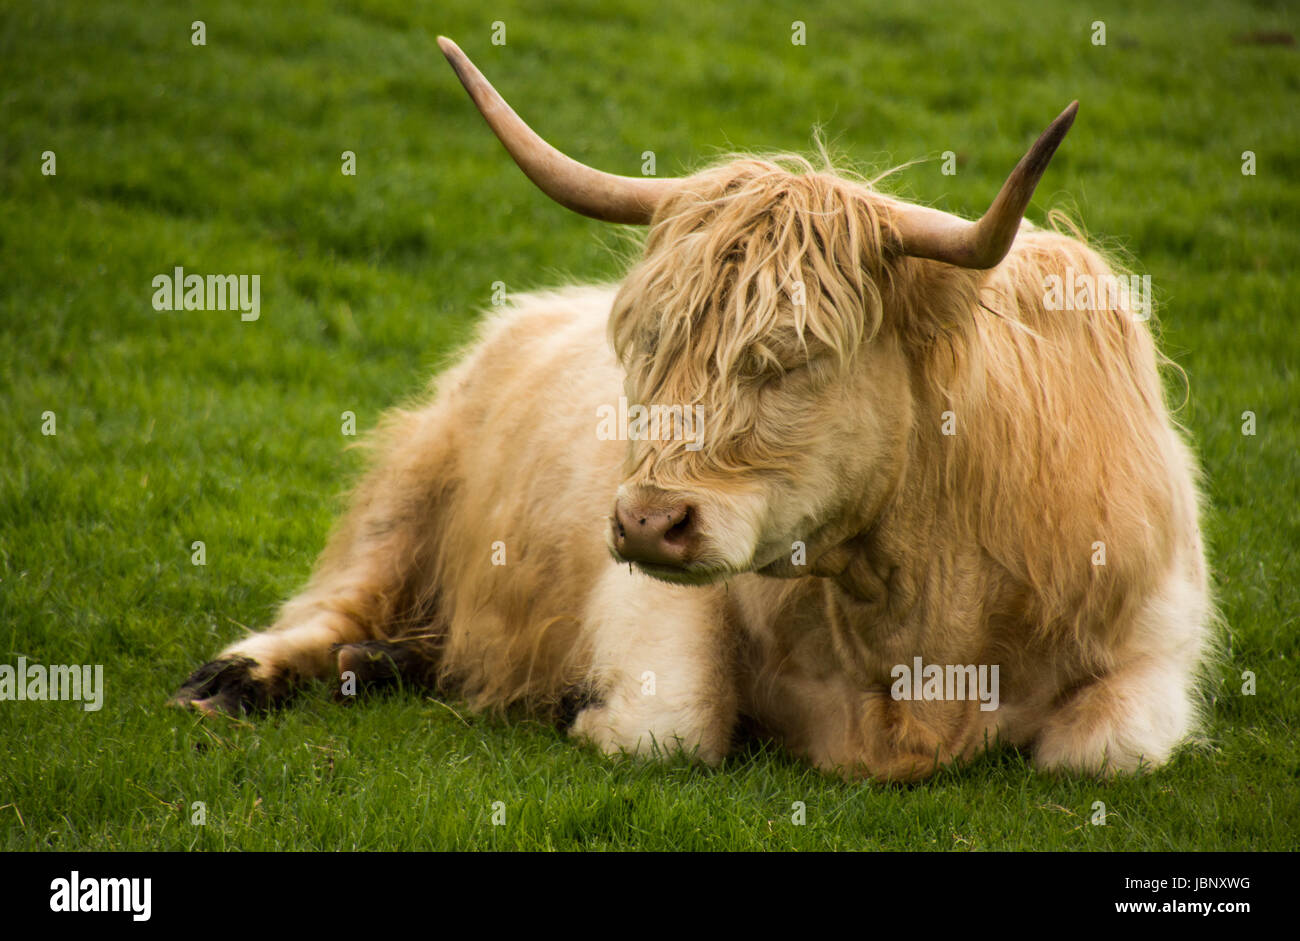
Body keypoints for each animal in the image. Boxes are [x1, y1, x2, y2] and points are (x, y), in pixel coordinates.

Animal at [174, 37, 1214, 781]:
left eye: (797, 357)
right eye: (646, 344)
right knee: (332, 602)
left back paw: (384, 663)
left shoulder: (1156, 640)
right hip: (408, 496)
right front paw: (577, 704)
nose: (645, 520)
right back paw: (240, 677)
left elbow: (1103, 754)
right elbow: (672, 722)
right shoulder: (656, 602)